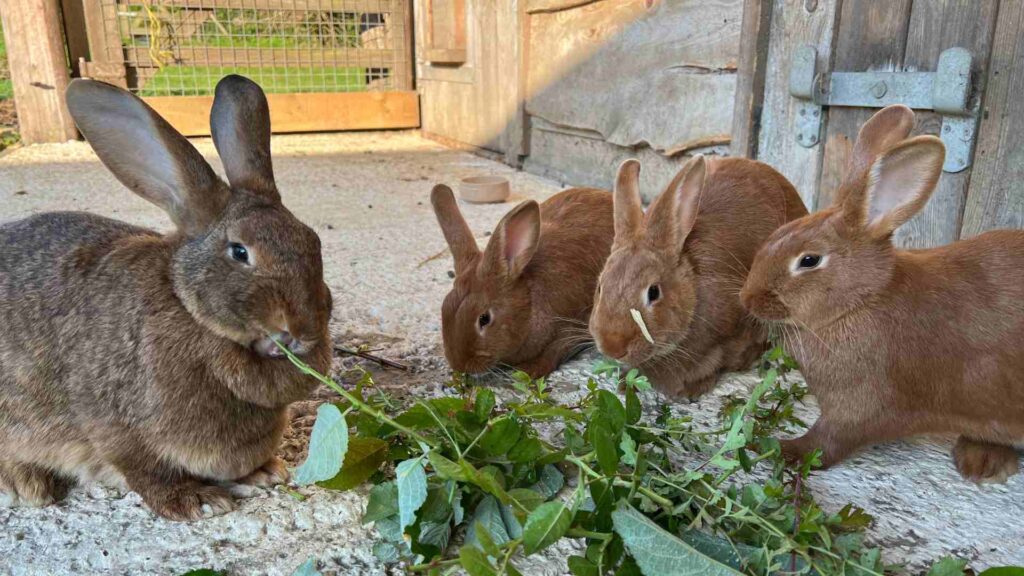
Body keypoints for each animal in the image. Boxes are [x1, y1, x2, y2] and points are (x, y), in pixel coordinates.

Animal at [0, 75, 333, 520]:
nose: (304, 329)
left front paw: (262, 472)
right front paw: (196, 502)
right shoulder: (116, 426)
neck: (187, 304)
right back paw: (24, 485)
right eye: (239, 252)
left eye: (312, 241)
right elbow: (144, 470)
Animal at [430, 185, 614, 378]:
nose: (459, 365)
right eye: (444, 308)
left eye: (484, 319)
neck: (529, 302)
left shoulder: (575, 322)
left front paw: (527, 371)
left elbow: (557, 348)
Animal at [739, 104, 1024, 483]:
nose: (747, 298)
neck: (861, 300)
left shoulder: (863, 405)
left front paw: (784, 450)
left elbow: (829, 439)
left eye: (809, 260)